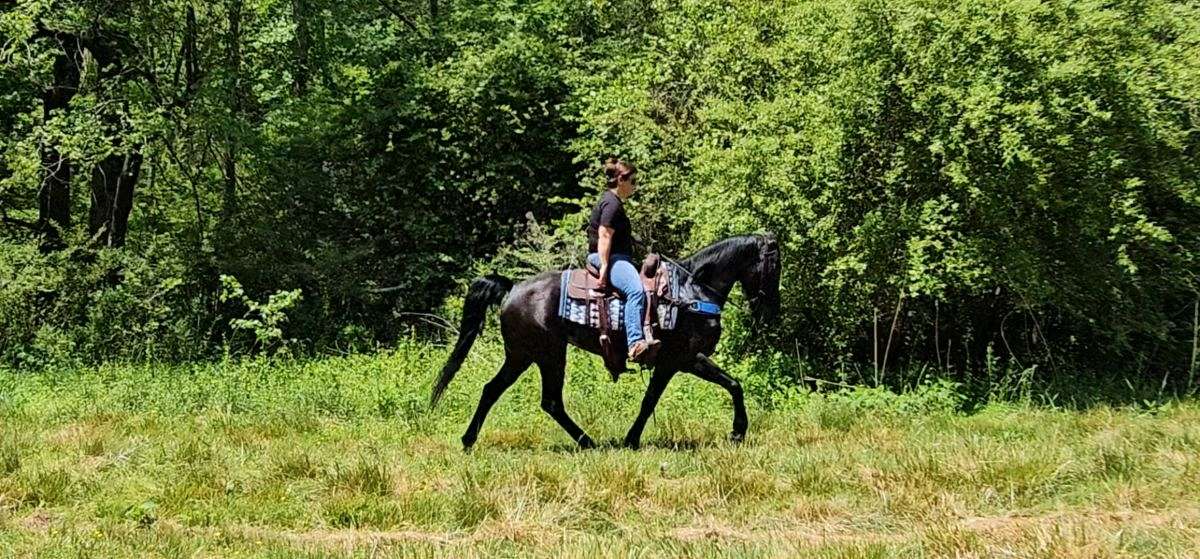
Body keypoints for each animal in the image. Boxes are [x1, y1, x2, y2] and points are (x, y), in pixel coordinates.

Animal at [431, 233, 781, 450]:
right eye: (773, 265)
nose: (771, 309)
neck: (690, 292)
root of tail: (512, 288)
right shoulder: (678, 359)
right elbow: (653, 399)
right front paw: (632, 439)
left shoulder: (685, 360)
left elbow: (732, 384)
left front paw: (737, 431)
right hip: (542, 354)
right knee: (536, 398)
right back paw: (585, 442)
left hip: (530, 355)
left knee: (511, 394)